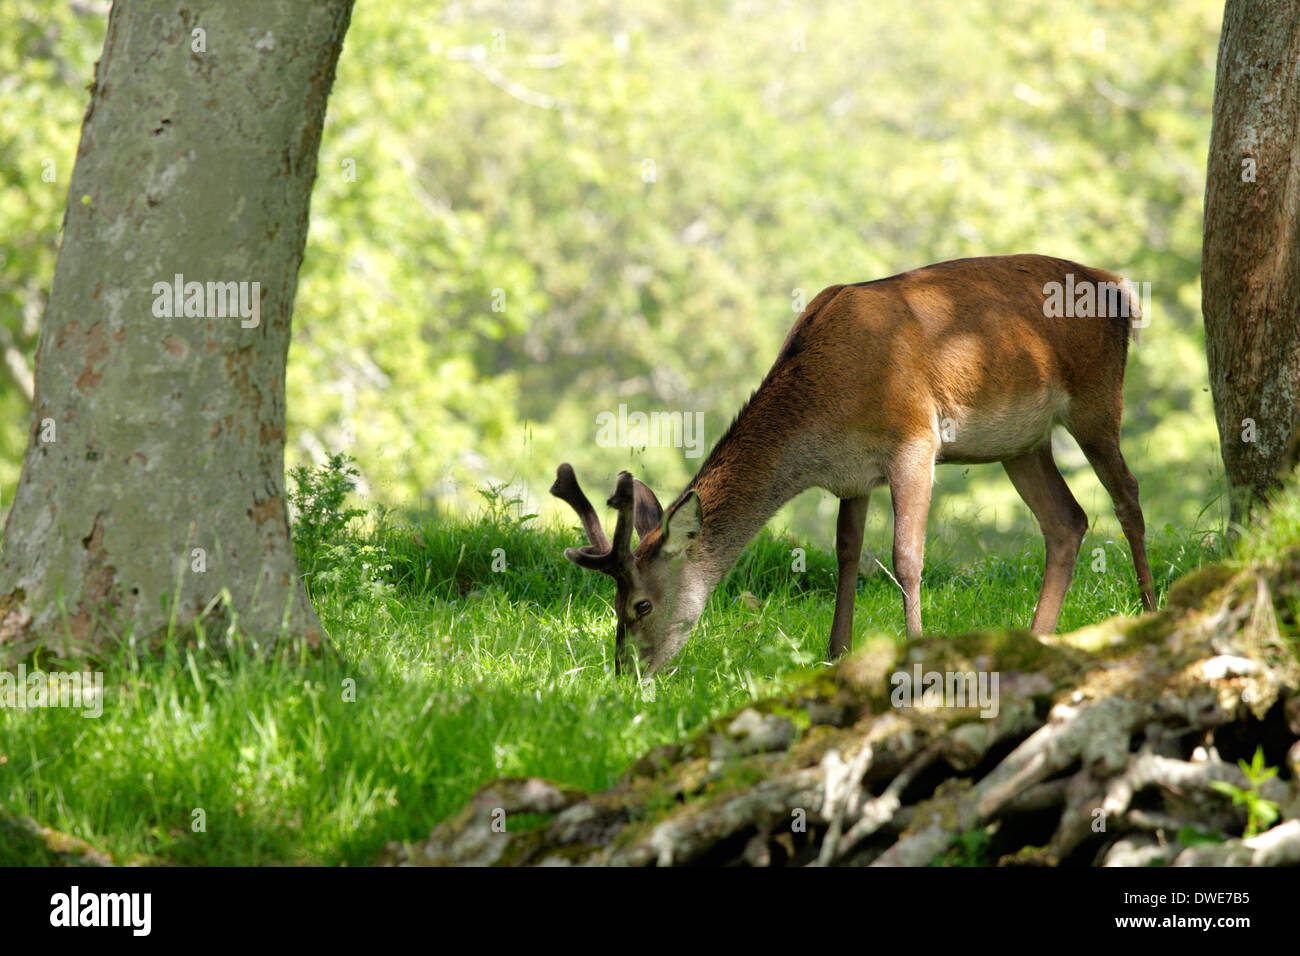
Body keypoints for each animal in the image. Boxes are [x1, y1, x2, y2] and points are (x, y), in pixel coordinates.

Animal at [552, 254, 1157, 677]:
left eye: (641, 605)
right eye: (613, 604)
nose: (625, 675)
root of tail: (1121, 289)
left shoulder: (915, 439)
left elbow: (905, 556)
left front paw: (915, 653)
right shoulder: (851, 474)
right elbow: (846, 554)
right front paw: (835, 654)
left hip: (1097, 400)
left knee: (1128, 496)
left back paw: (1150, 611)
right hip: (1022, 443)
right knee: (1067, 520)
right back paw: (1038, 638)